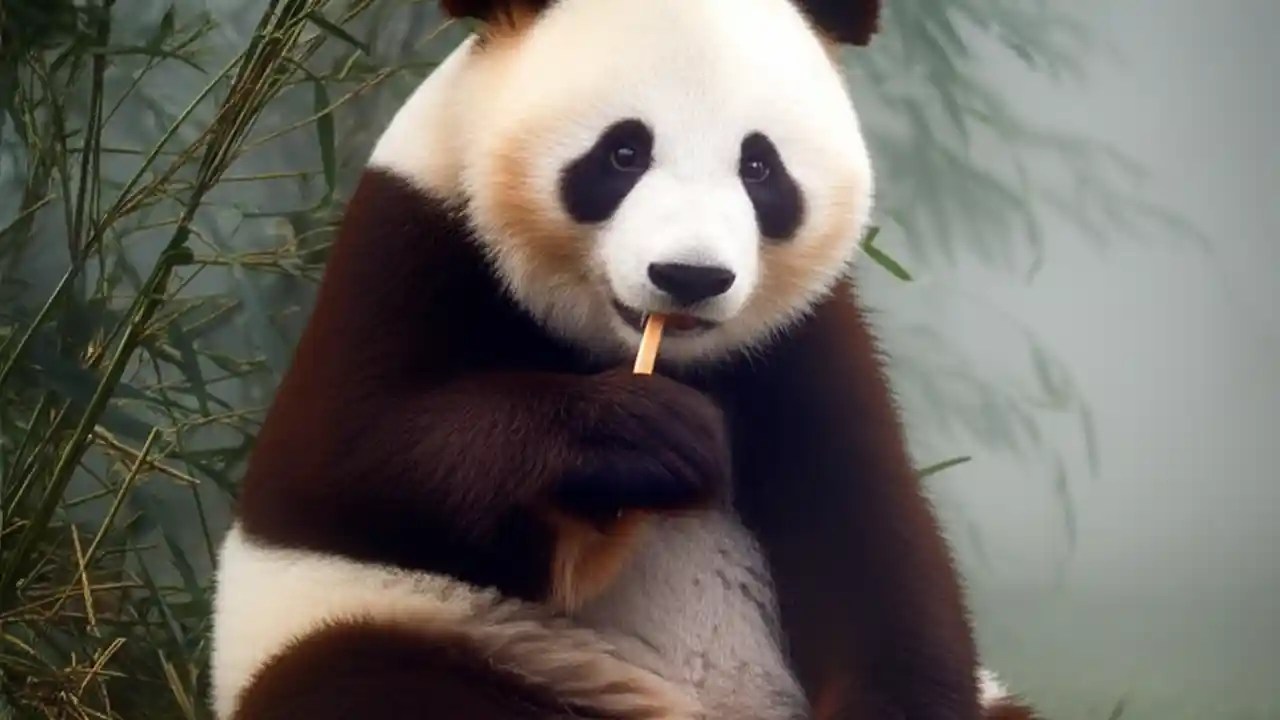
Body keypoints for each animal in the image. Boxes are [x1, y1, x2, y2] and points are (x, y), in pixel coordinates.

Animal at [209, 0, 1040, 718]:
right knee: (363, 680)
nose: (689, 277)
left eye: (760, 168)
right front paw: (640, 438)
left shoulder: (803, 338)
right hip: (467, 648)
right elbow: (347, 461)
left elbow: (870, 550)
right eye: (623, 152)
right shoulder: (406, 243)